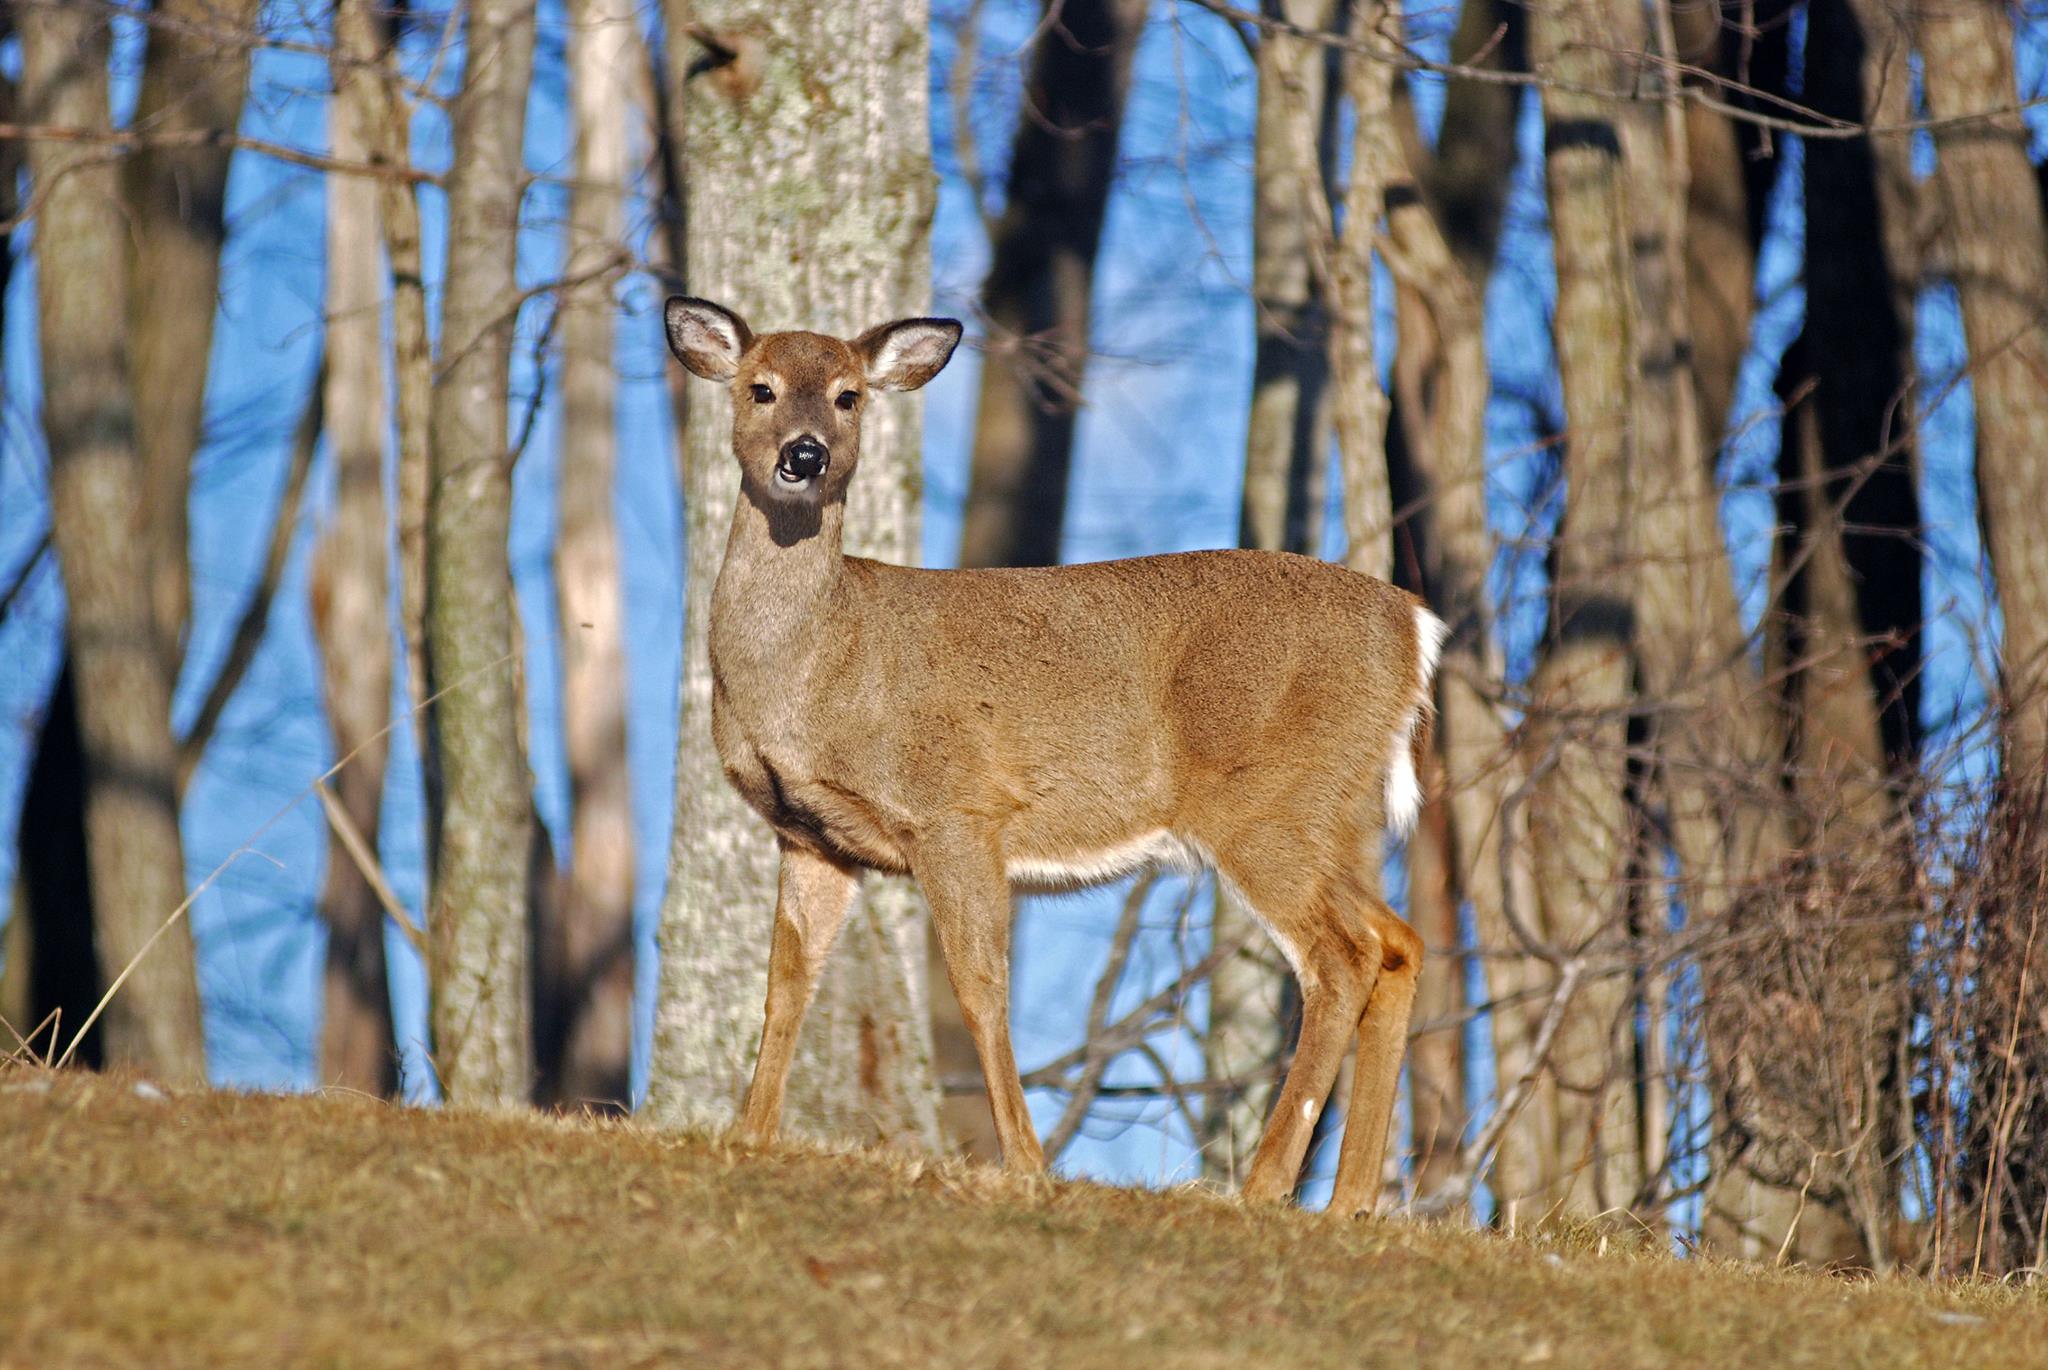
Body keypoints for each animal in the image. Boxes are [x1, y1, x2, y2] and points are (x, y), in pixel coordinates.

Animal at [663, 296, 1447, 1217]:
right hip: (1334, 814)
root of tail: (1415, 629)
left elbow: (980, 986)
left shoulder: (956, 811)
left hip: (1269, 808)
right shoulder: (812, 836)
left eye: (849, 395)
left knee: (1341, 960)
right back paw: (1350, 1200)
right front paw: (750, 1135)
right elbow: (786, 984)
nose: (805, 454)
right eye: (762, 387)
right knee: (1399, 944)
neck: (822, 664)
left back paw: (1262, 1188)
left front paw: (1028, 1164)